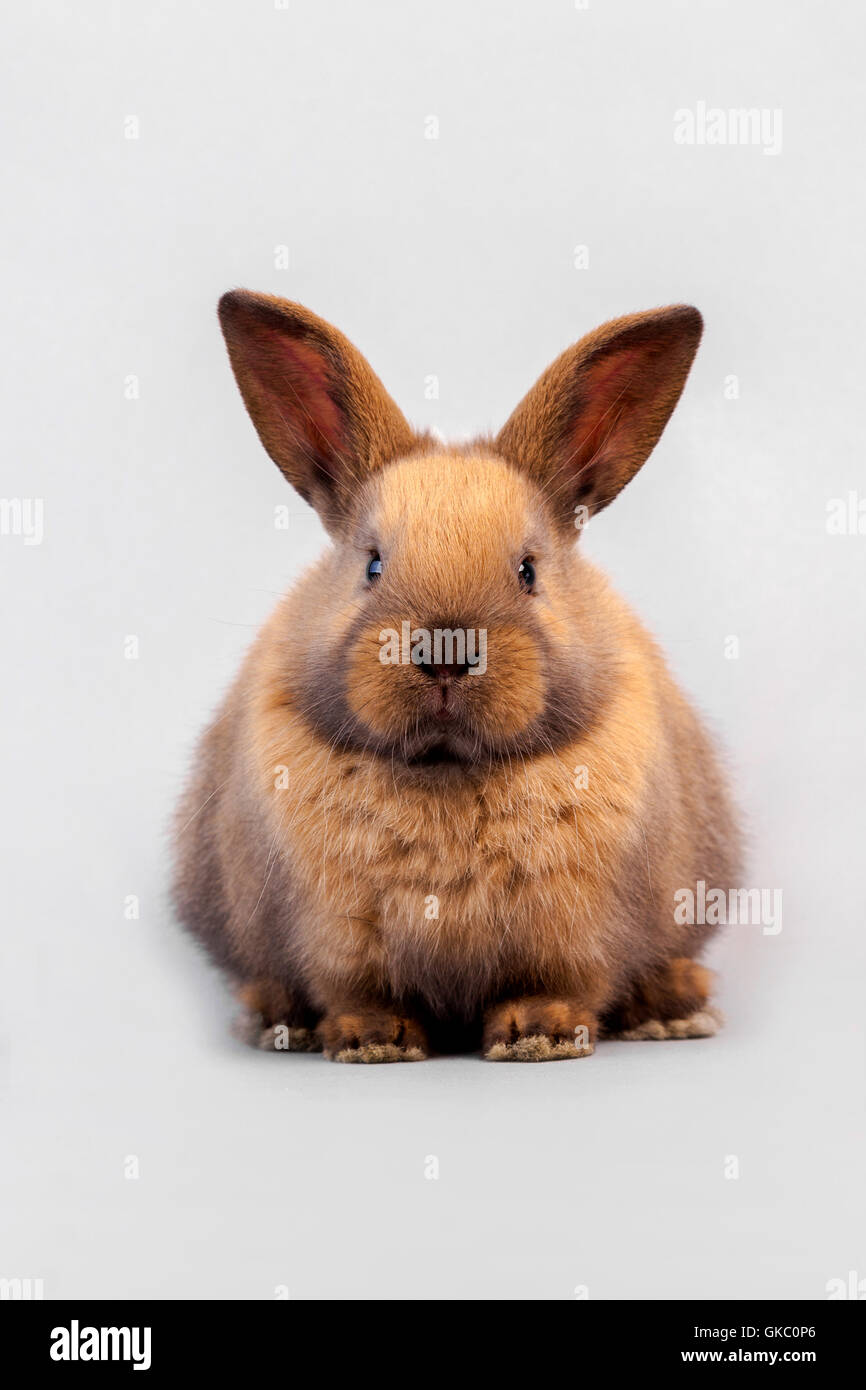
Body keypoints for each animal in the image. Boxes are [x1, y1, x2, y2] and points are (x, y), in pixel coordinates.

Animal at [173, 290, 741, 1063]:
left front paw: (540, 1035)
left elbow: (564, 983)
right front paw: (372, 1041)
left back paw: (674, 1008)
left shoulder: (574, 929)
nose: (446, 651)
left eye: (529, 570)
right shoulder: (335, 933)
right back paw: (274, 1021)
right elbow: (356, 989)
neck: (446, 768)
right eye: (372, 564)